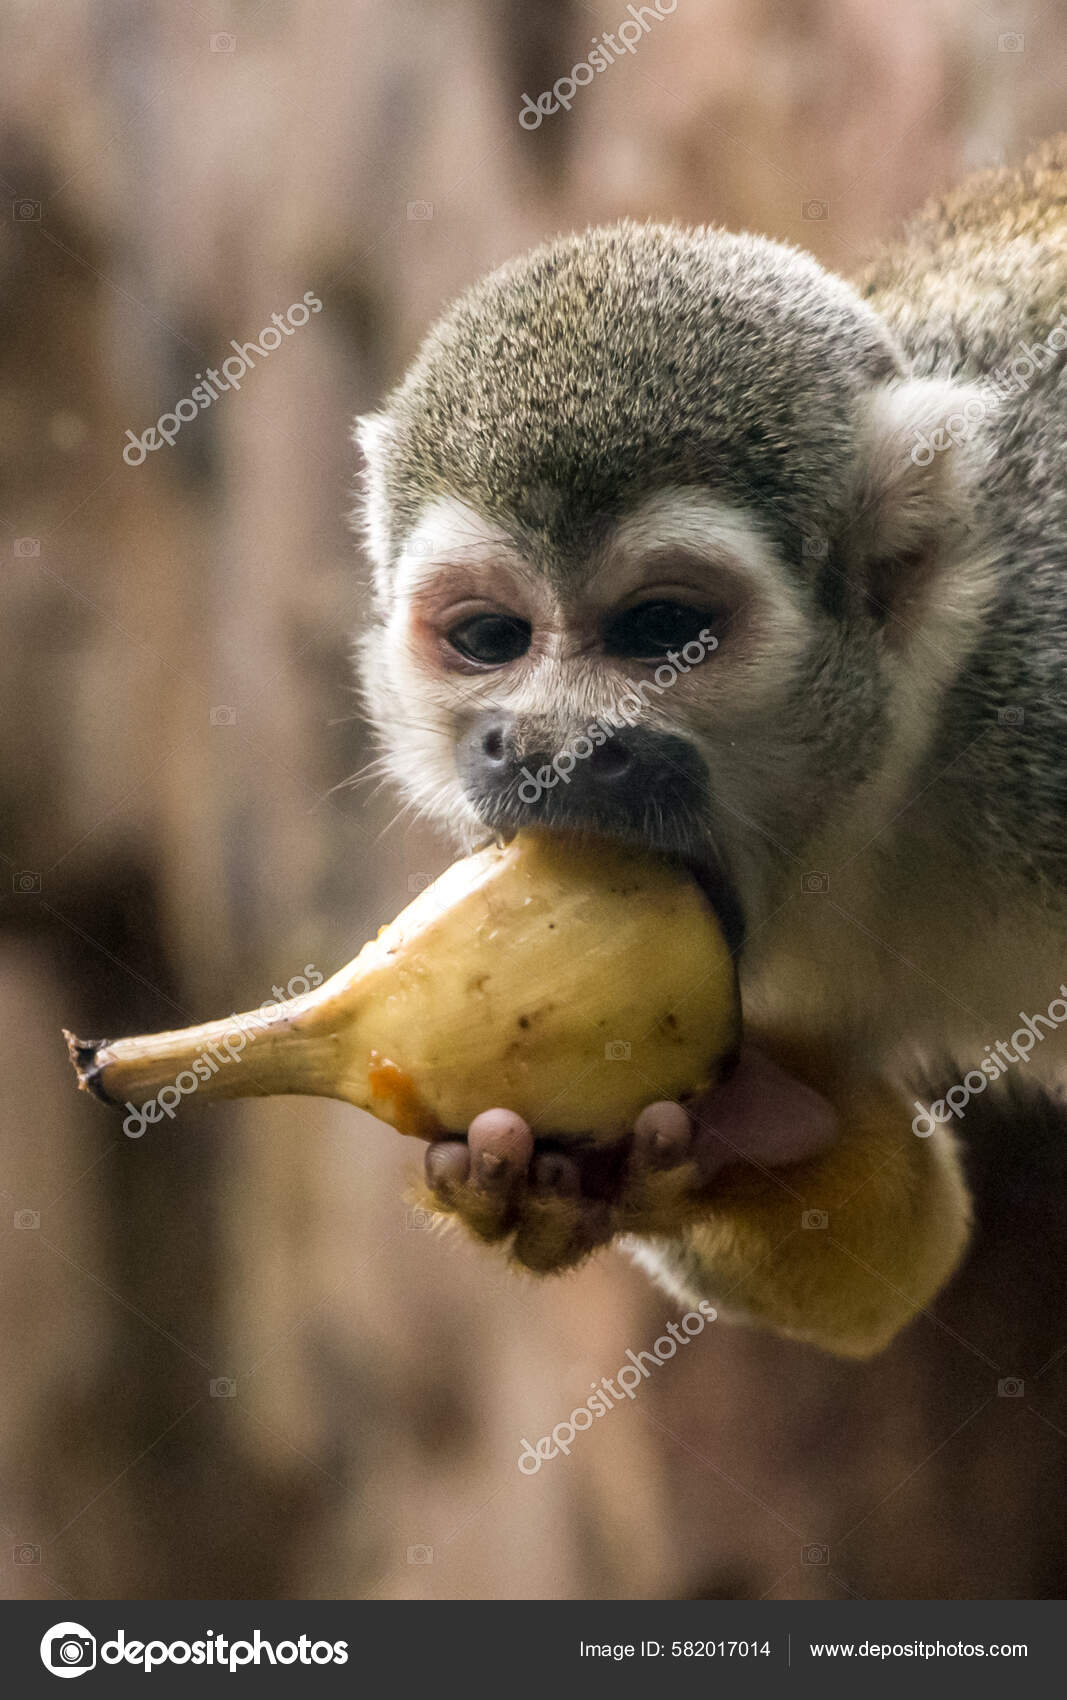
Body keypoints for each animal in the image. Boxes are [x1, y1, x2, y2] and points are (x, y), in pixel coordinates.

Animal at [352, 137, 1067, 1356]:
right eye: (489, 640)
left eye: (663, 631)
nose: (543, 748)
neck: (900, 768)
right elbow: (896, 1263)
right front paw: (716, 1138)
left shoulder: (1042, 700)